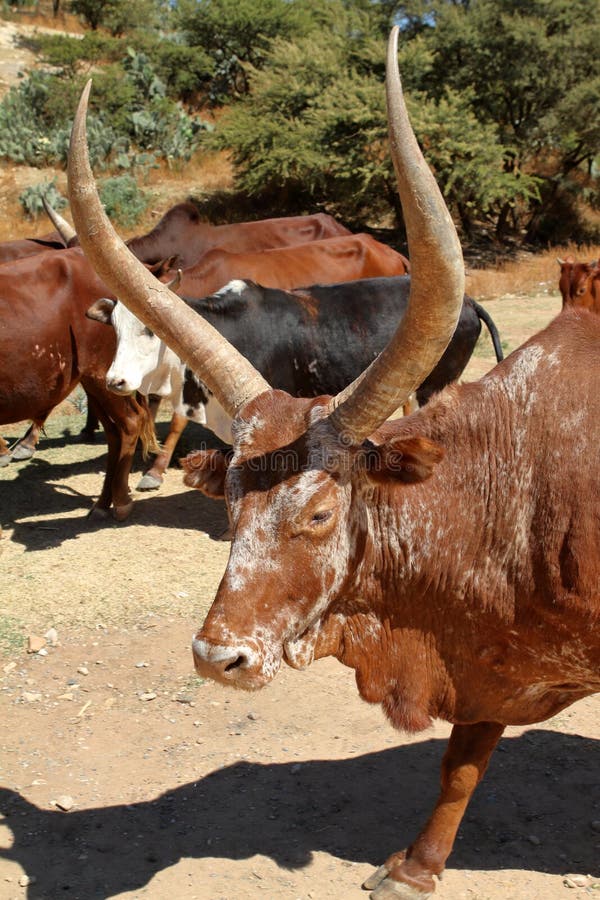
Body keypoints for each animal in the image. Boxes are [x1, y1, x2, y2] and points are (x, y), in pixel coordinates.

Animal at [0, 247, 154, 519]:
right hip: (93, 382)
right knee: (114, 433)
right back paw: (103, 503)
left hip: (106, 377)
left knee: (131, 422)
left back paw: (121, 501)